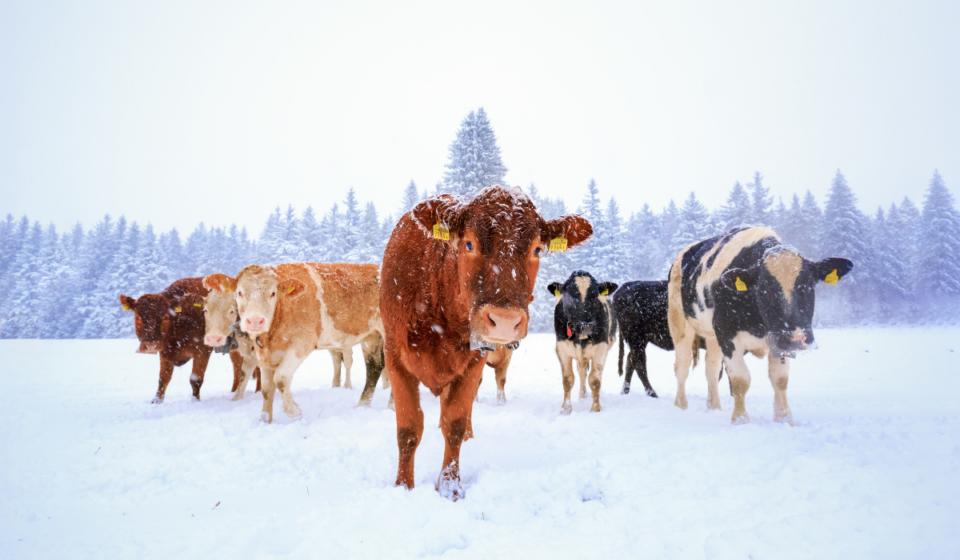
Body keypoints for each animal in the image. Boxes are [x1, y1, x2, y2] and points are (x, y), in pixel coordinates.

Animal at [229, 263, 389, 421]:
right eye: (239, 292)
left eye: (273, 293)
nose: (255, 321)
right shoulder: (265, 354)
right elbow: (267, 388)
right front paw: (265, 419)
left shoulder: (302, 344)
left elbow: (280, 378)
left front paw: (294, 412)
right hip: (371, 337)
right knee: (374, 367)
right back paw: (363, 405)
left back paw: (390, 407)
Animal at [380, 186, 592, 500]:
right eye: (468, 244)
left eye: (537, 249)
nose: (504, 319)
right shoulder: (395, 356)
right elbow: (408, 429)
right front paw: (403, 486)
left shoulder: (474, 361)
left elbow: (454, 423)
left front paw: (450, 488)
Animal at [548, 271, 618, 414]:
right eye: (570, 296)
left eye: (595, 296)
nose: (587, 325)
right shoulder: (561, 348)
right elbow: (568, 379)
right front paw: (566, 409)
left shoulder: (601, 349)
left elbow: (595, 380)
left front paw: (596, 408)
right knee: (582, 373)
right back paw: (582, 397)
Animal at [667, 226, 853, 424]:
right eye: (765, 290)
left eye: (809, 287)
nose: (797, 338)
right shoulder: (728, 334)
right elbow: (740, 380)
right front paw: (740, 420)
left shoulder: (777, 340)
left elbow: (780, 379)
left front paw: (784, 419)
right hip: (679, 323)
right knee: (682, 366)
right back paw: (681, 406)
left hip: (712, 335)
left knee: (711, 368)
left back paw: (714, 408)